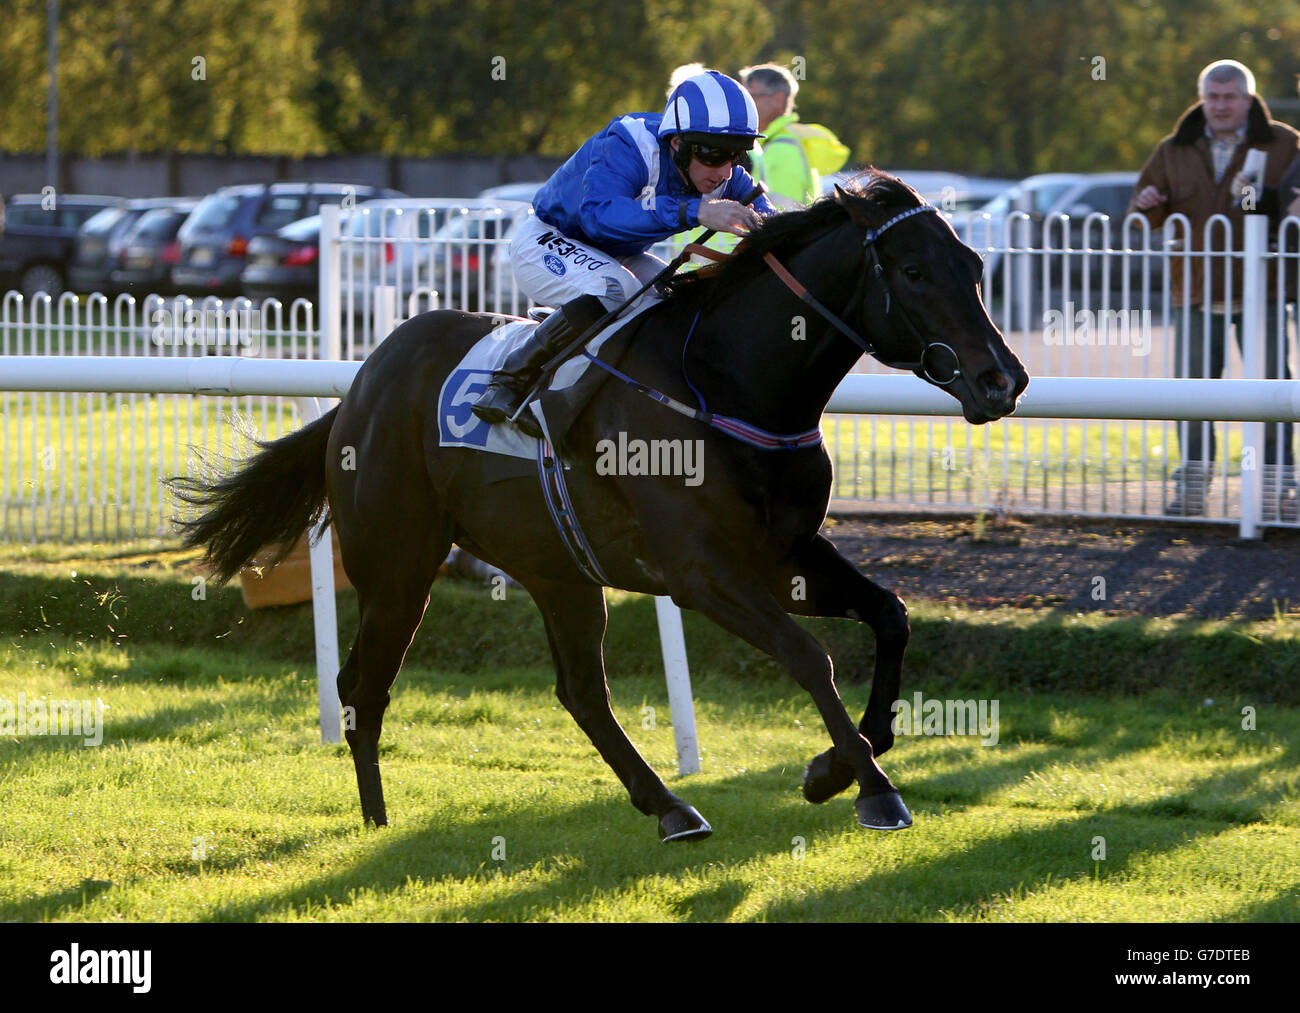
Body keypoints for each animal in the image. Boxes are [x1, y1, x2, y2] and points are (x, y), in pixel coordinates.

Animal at [170, 172, 1028, 843]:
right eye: (913, 270)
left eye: (973, 264)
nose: (1004, 379)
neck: (728, 381)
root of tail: (360, 385)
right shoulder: (700, 570)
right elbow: (807, 654)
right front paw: (871, 787)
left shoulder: (785, 555)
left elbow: (890, 615)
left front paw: (839, 763)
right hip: (398, 565)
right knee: (362, 686)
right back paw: (377, 818)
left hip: (559, 567)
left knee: (581, 691)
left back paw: (671, 805)